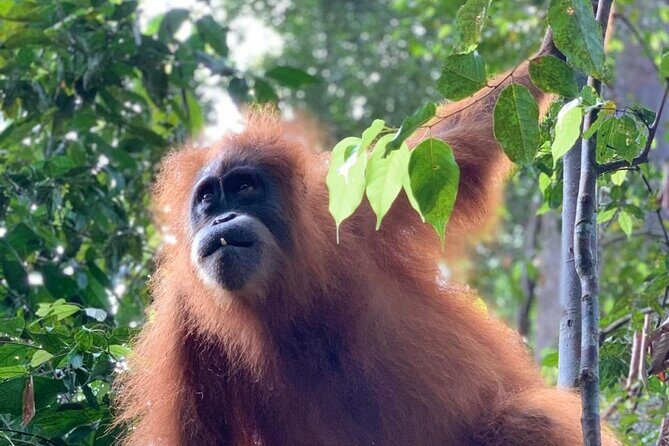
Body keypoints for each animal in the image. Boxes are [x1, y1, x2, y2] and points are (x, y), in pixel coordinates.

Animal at [115, 36, 619, 445]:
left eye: (243, 187)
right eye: (207, 198)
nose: (222, 217)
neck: (280, 292)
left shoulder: (345, 209)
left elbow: (456, 149)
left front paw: (551, 50)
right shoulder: (180, 325)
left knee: (529, 421)